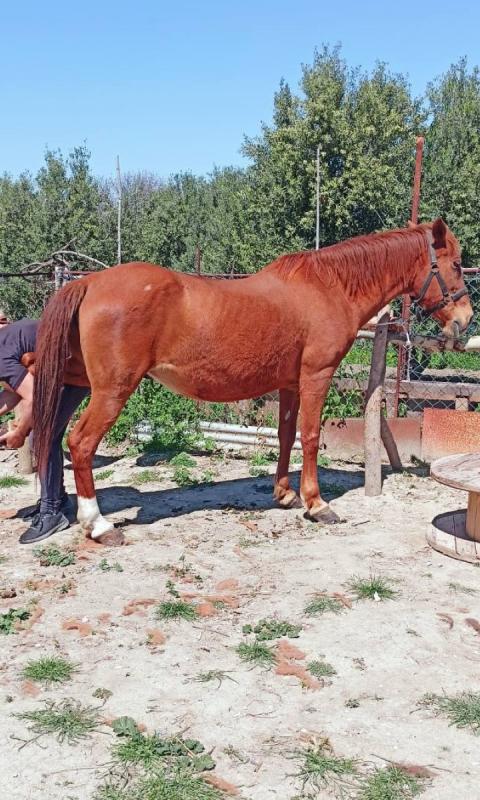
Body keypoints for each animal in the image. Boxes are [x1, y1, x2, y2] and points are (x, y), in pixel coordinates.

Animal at [32, 219, 472, 545]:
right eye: (454, 265)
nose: (464, 321)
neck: (328, 288)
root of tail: (89, 282)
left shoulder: (290, 383)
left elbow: (286, 434)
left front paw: (286, 493)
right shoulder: (316, 376)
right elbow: (311, 436)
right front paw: (317, 504)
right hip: (112, 391)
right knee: (80, 443)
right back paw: (99, 525)